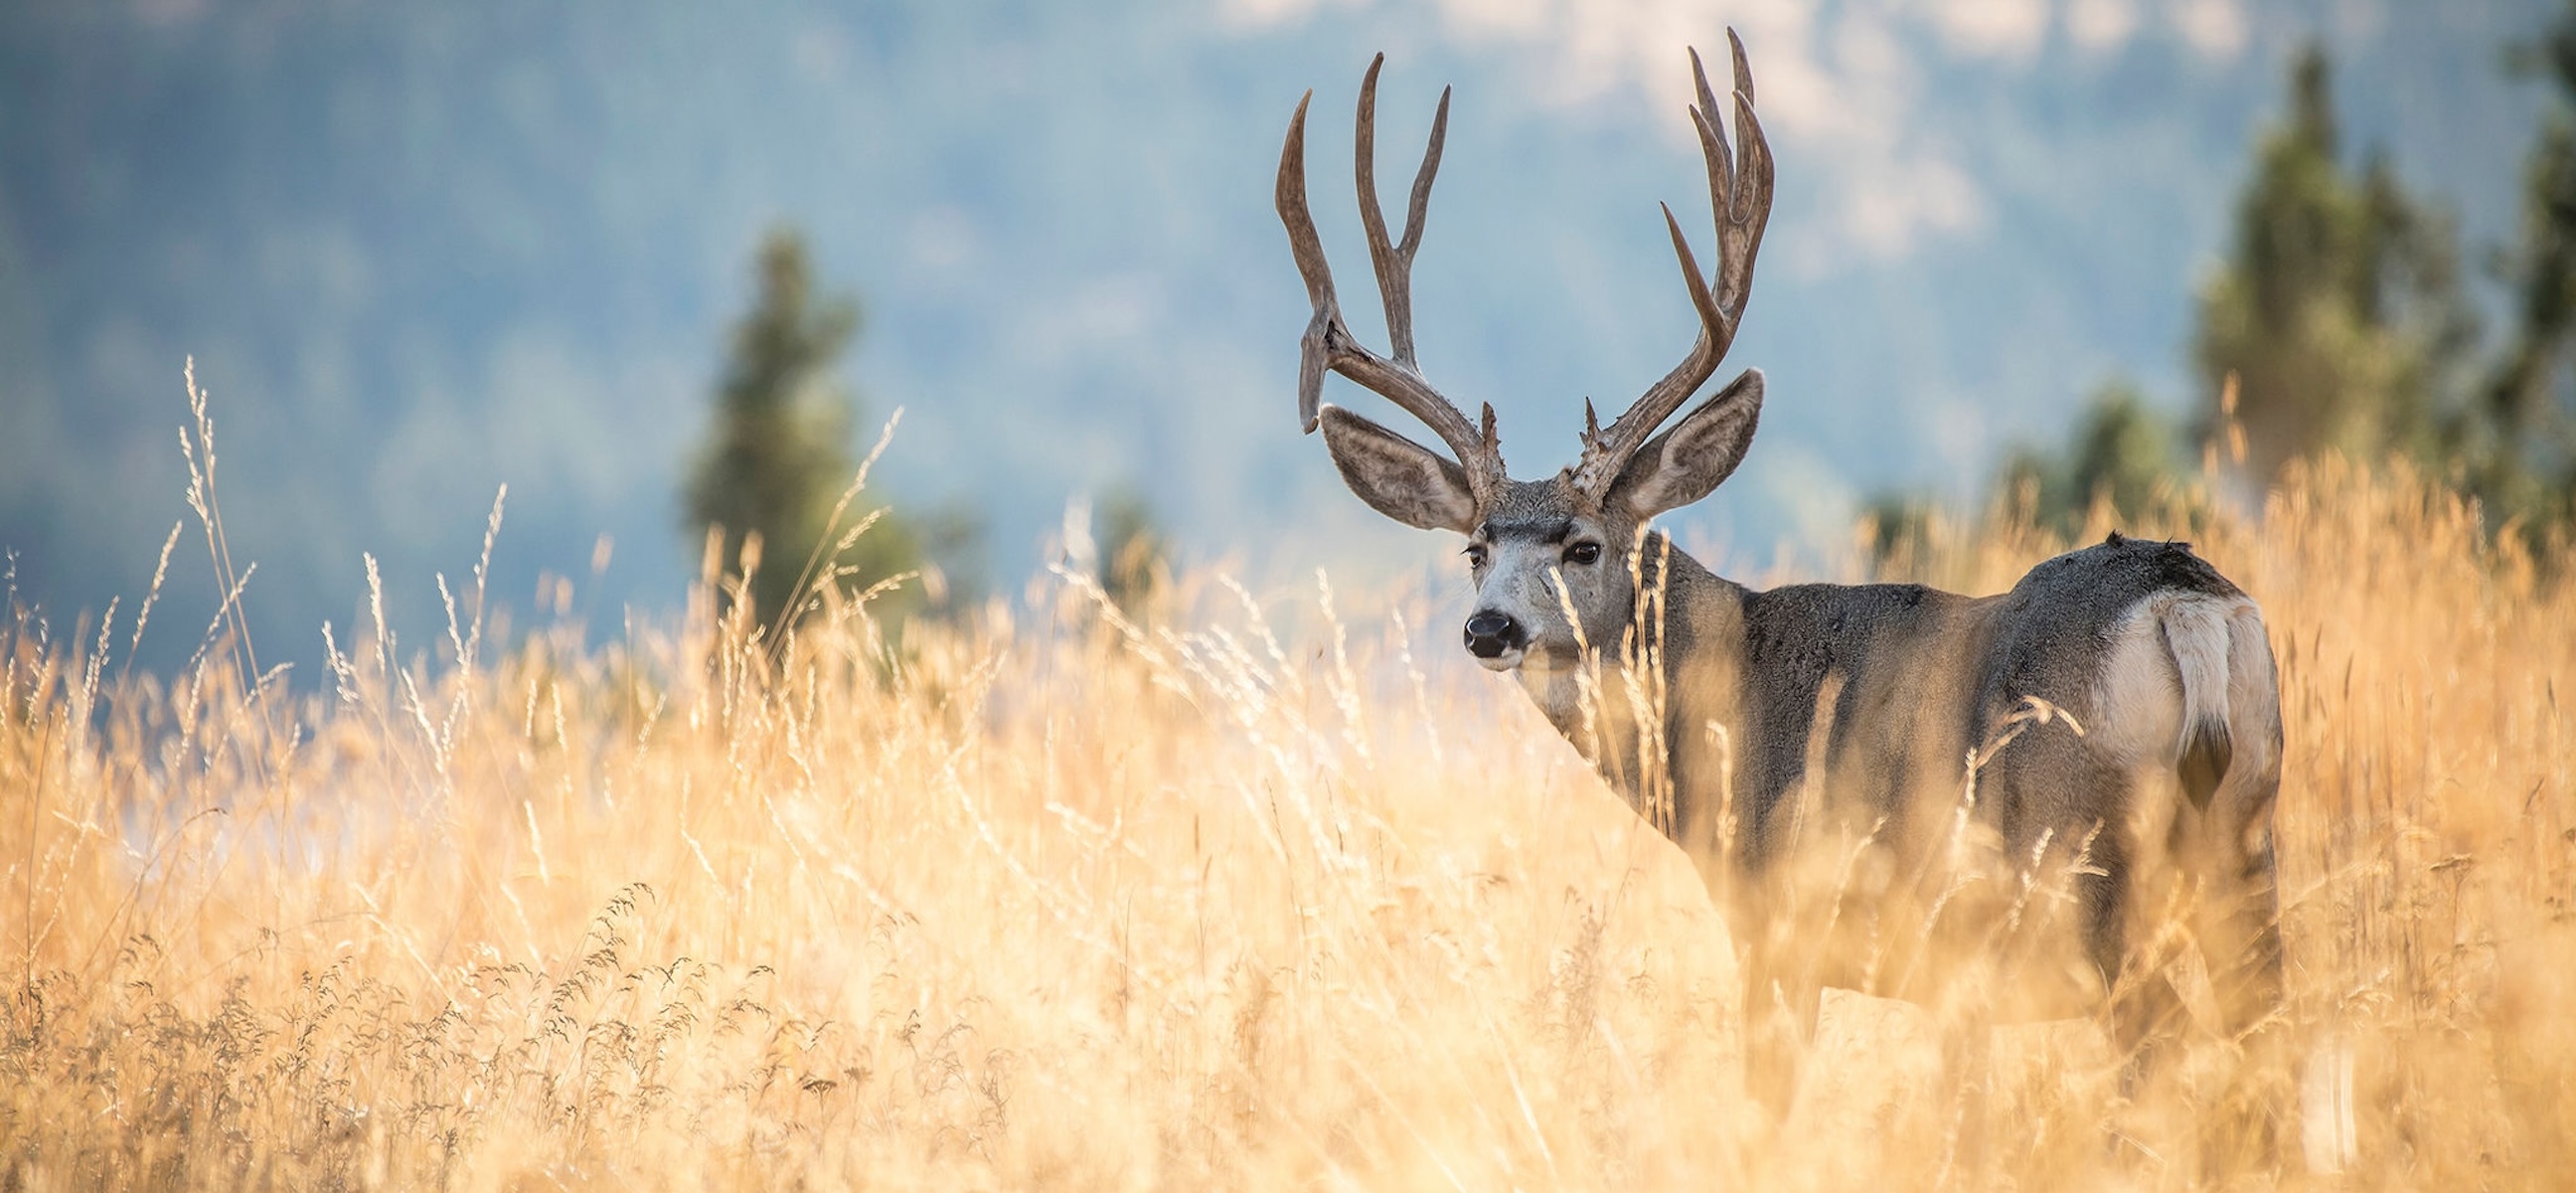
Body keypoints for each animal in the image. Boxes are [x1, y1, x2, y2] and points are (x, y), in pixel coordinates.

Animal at [1272, 32, 2285, 1090]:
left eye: (1585, 544)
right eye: (1475, 548)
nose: (1489, 628)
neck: (1729, 705)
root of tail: (2186, 603)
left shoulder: (1781, 922)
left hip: (2092, 869)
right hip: (2248, 852)